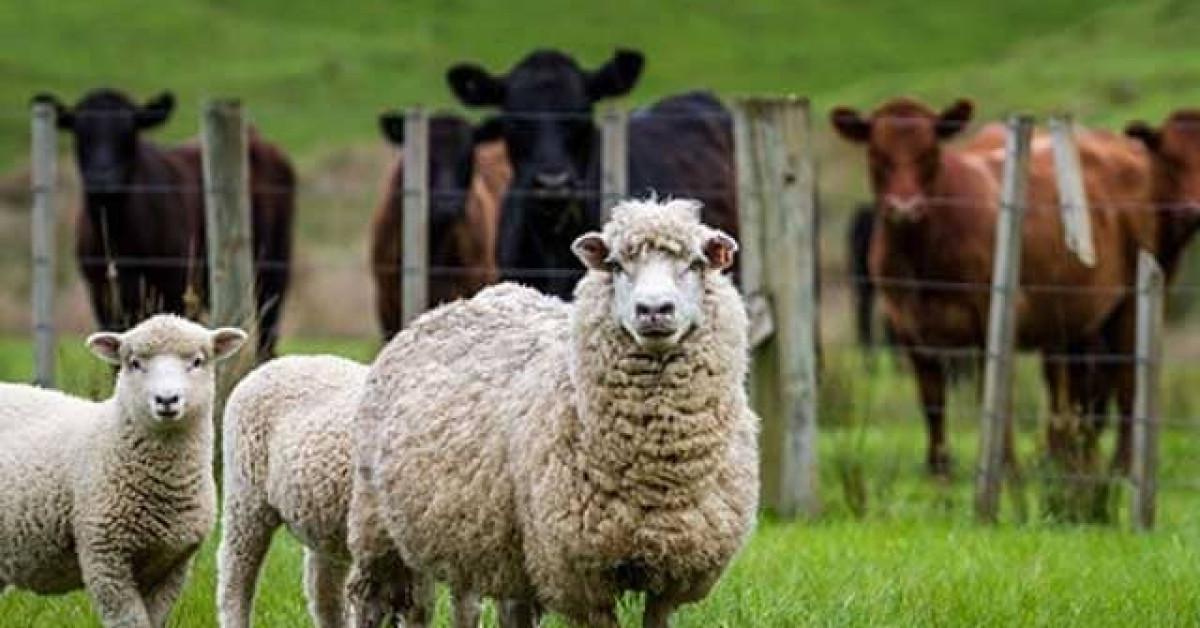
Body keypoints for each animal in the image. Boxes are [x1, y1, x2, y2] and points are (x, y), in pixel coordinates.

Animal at [0, 314, 246, 628]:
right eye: (135, 363)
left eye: (197, 361)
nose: (167, 400)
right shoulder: (105, 557)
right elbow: (130, 621)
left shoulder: (173, 565)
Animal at [218, 355, 480, 628]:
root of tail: (278, 362)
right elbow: (413, 609)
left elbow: (464, 610)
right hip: (245, 497)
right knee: (235, 578)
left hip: (323, 522)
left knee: (323, 594)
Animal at [348, 198, 760, 627]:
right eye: (616, 265)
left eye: (696, 263)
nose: (653, 309)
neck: (654, 471)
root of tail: (449, 307)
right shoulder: (582, 575)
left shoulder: (675, 573)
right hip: (377, 525)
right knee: (371, 600)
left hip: (491, 541)